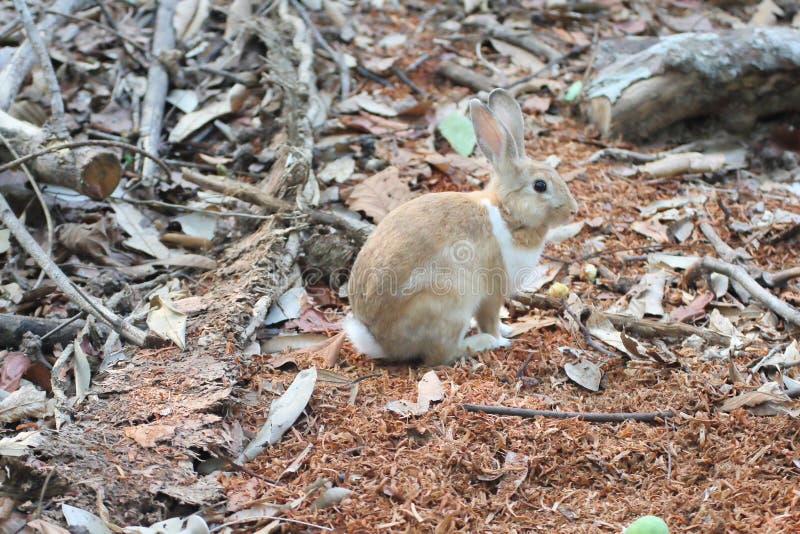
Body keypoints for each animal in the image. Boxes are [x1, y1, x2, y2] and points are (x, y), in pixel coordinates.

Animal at [344, 88, 578, 366]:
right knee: (442, 354)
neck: (506, 213)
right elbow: (489, 319)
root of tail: (379, 342)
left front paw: (508, 329)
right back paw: (482, 343)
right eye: (540, 186)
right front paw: (501, 338)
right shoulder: (491, 293)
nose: (573, 210)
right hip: (450, 302)